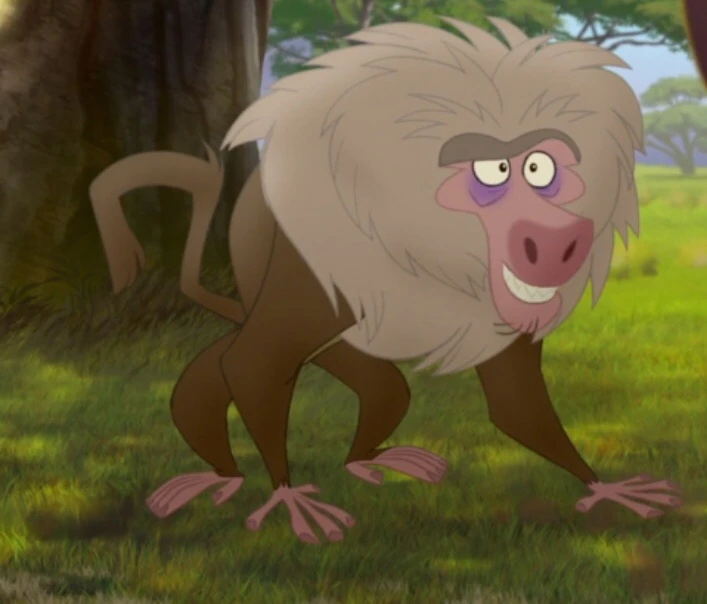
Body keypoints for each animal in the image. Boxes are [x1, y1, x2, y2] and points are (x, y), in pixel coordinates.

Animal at [89, 16, 683, 544]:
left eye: (541, 168)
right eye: (493, 171)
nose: (558, 241)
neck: (423, 245)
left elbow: (516, 407)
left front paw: (608, 490)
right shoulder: (313, 254)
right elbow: (252, 365)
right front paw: (288, 498)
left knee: (384, 390)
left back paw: (369, 460)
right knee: (227, 371)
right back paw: (219, 477)